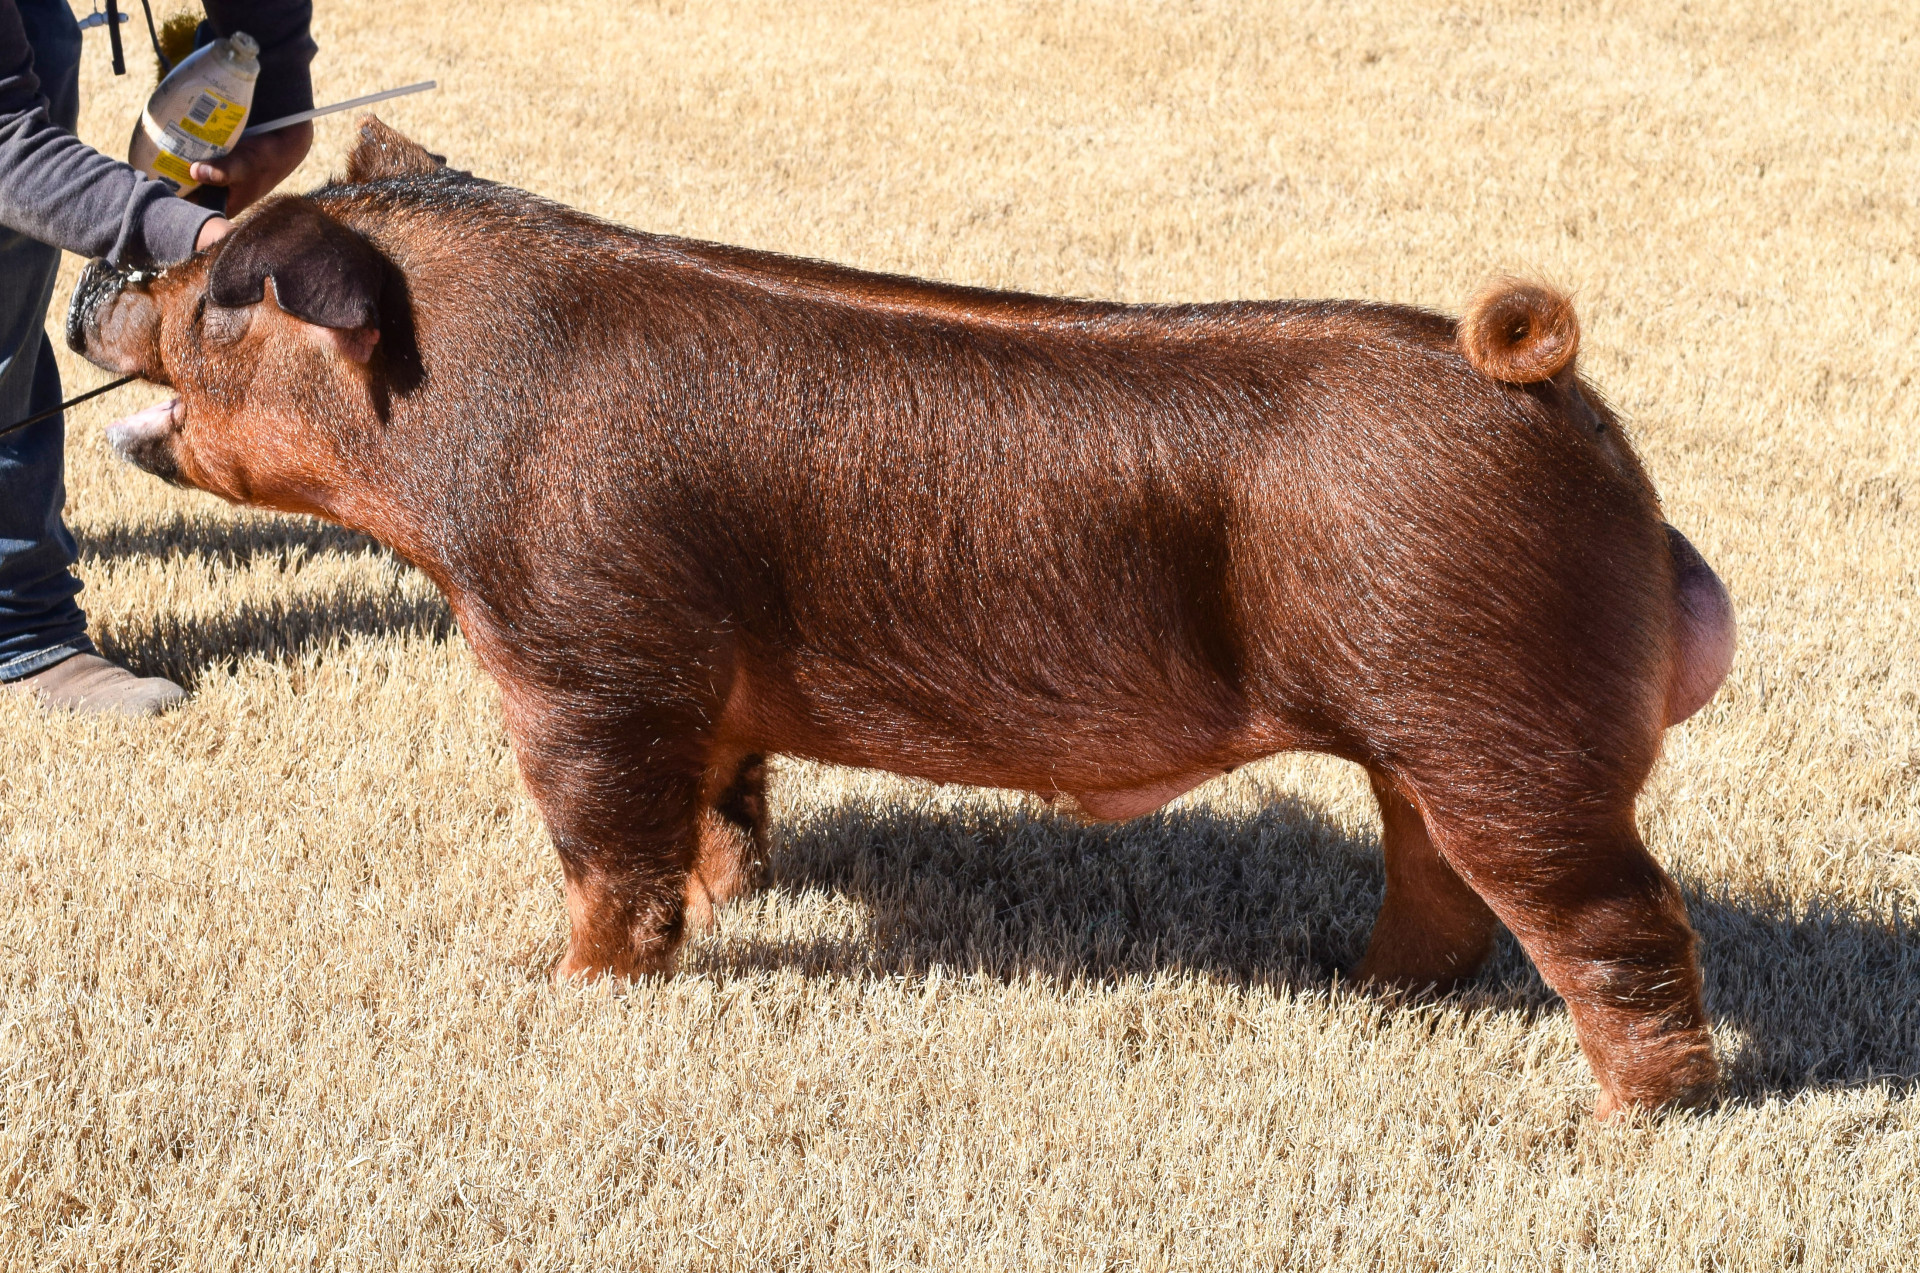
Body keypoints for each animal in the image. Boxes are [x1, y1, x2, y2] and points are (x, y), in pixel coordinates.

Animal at [69, 118, 1735, 1117]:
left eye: (216, 289)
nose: (94, 291)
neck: (456, 412)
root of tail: (1543, 391)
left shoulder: (578, 655)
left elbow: (603, 841)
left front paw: (573, 992)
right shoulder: (700, 670)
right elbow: (722, 800)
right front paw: (737, 899)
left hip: (1501, 727)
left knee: (1619, 921)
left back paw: (1632, 1118)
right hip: (1428, 736)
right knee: (1441, 885)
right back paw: (1366, 993)